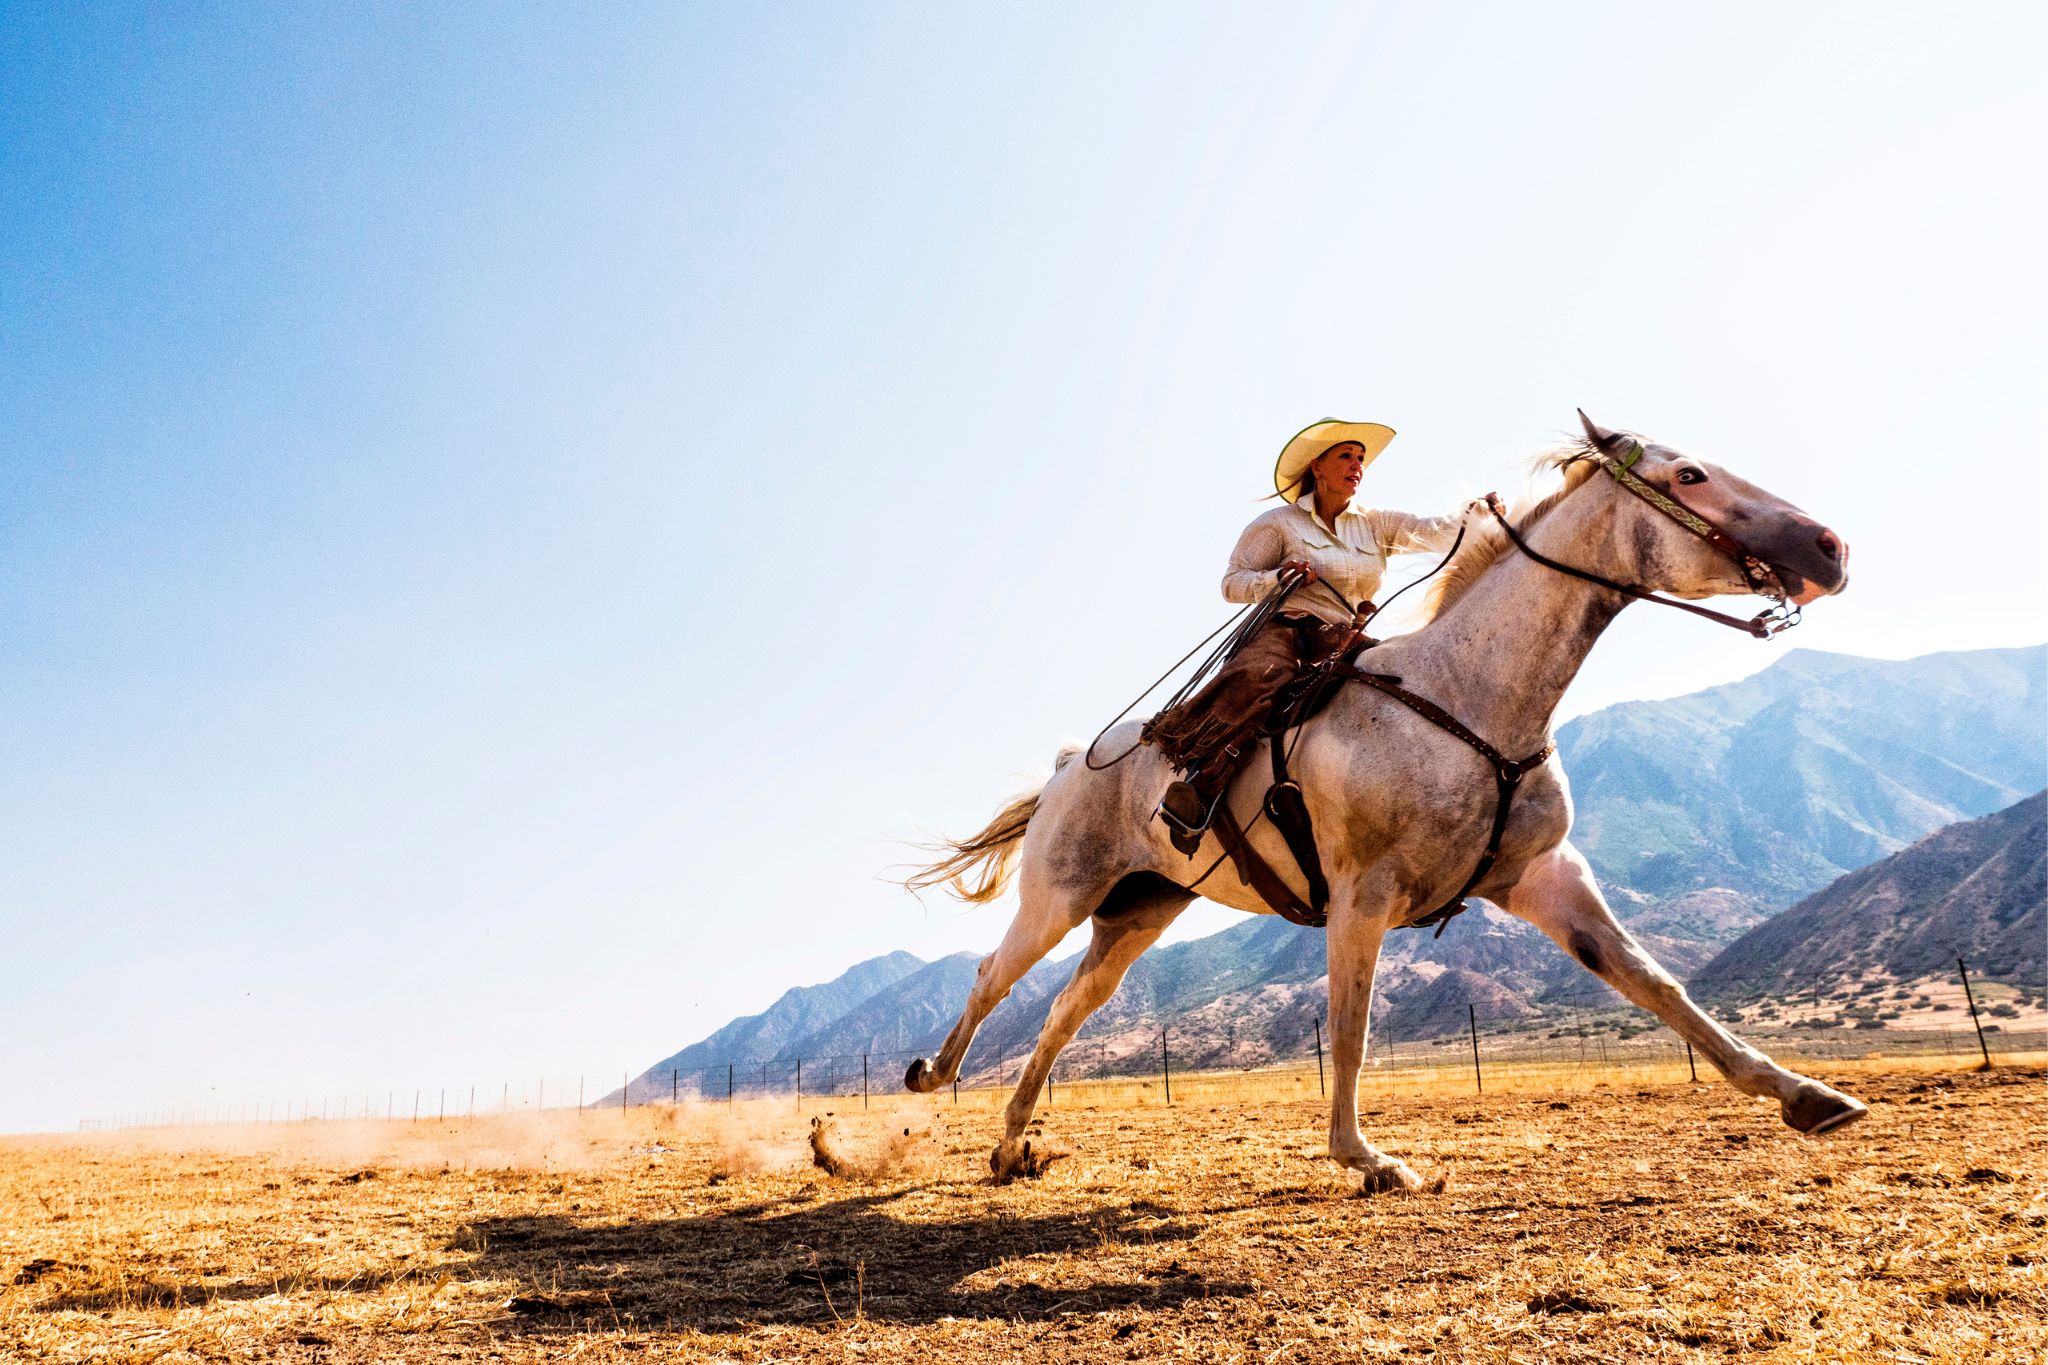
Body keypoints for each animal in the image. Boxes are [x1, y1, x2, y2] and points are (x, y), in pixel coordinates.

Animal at [904, 413, 1865, 1190]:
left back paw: (1012, 1145)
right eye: (1691, 475)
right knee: (994, 979)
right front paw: (1367, 1158)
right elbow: (1352, 1025)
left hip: (1139, 911)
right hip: (1060, 896)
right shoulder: (1361, 898)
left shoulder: (1544, 876)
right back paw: (930, 1080)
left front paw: (1806, 1093)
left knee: (1068, 1009)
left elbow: (1654, 981)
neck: (1468, 698)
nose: (1831, 547)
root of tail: (1074, 761)